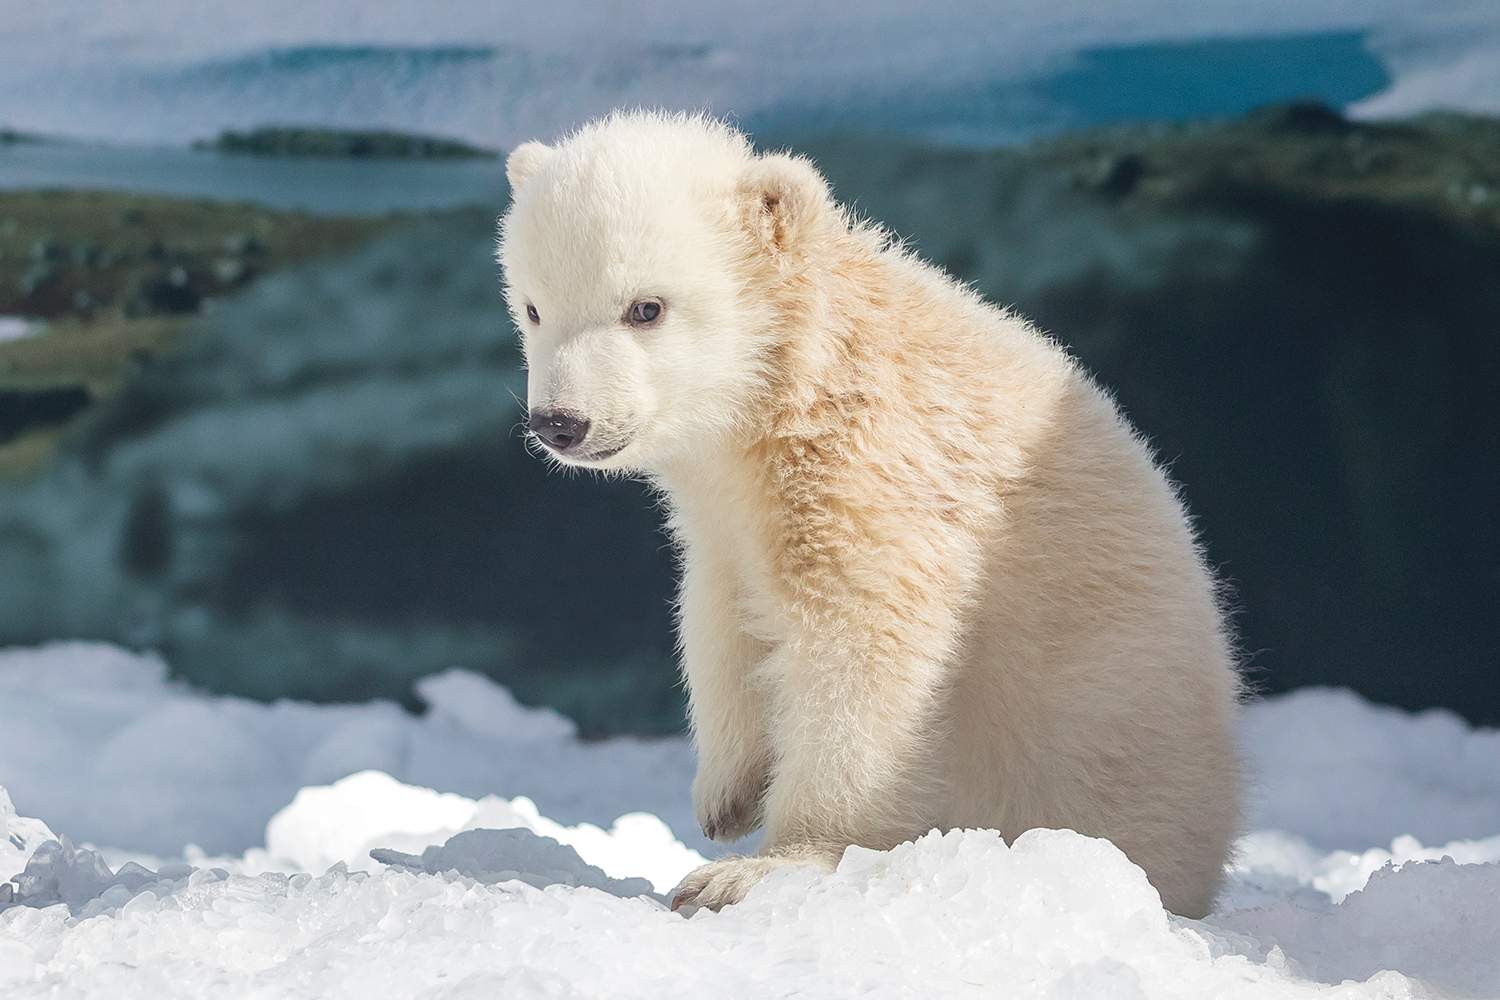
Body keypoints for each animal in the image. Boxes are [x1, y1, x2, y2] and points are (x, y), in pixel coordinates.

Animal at [497, 111, 1242, 919]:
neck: (795, 395)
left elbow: (863, 645)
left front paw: (752, 870)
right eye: (533, 306)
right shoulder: (727, 519)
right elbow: (720, 614)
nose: (560, 423)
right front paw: (726, 794)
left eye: (646, 308)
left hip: (1105, 737)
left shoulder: (880, 472)